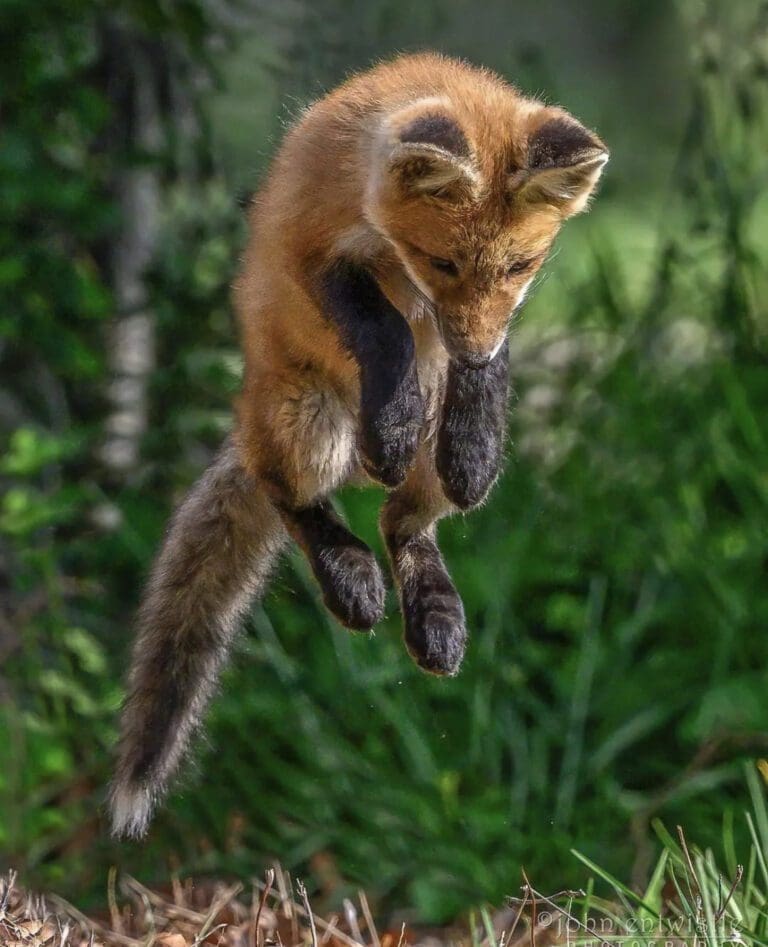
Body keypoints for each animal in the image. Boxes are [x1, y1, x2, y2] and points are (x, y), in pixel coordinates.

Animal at [110, 52, 608, 837]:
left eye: (517, 268)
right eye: (443, 263)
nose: (470, 349)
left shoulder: (486, 328)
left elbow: (480, 373)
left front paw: (471, 425)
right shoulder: (313, 251)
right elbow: (385, 325)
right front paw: (394, 416)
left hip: (412, 469)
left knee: (403, 522)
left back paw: (433, 608)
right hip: (307, 422)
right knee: (293, 498)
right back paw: (349, 574)